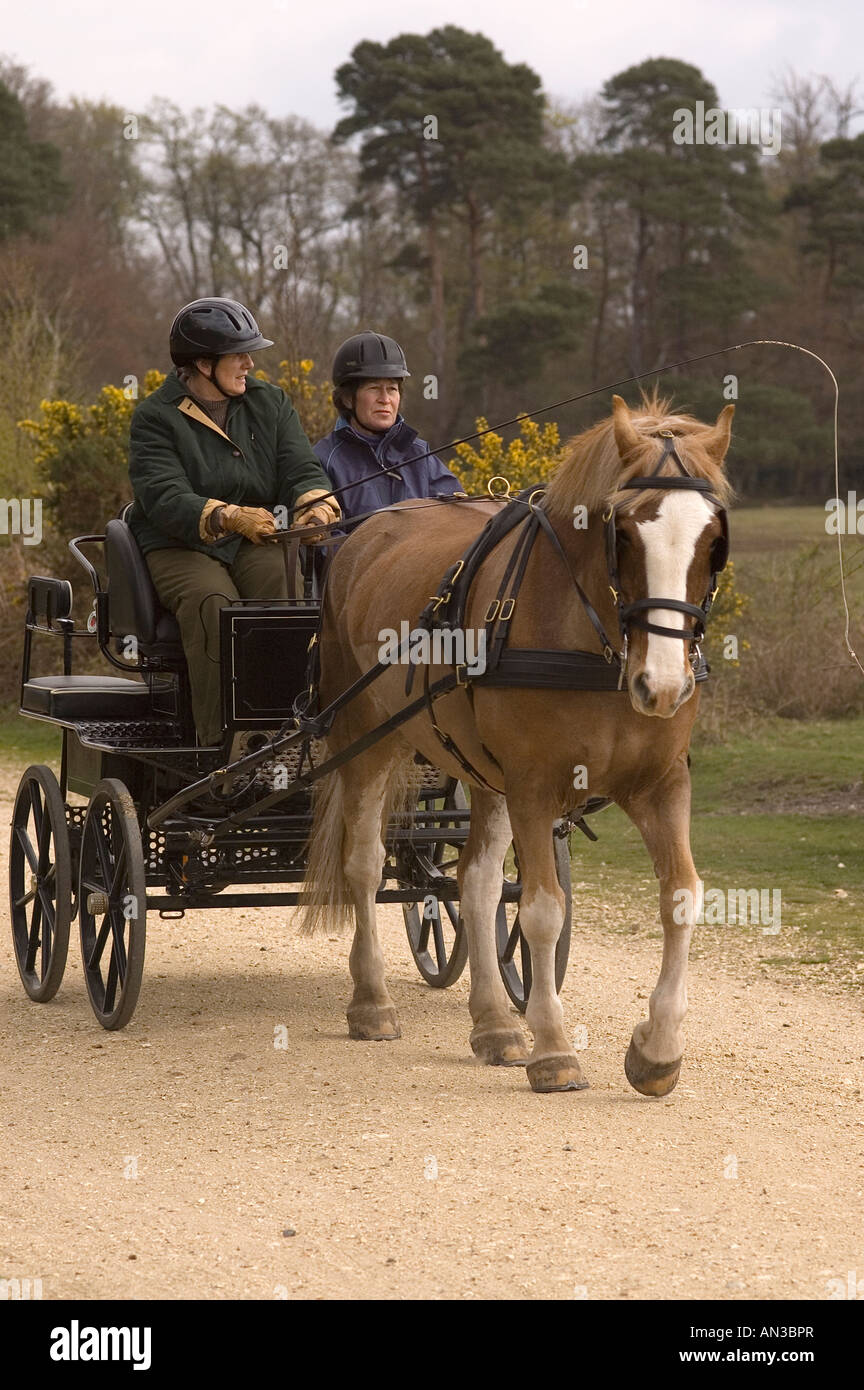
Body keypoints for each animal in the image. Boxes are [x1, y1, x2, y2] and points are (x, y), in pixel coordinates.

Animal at [302, 393, 733, 1094]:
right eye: (622, 531)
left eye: (713, 540)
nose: (663, 685)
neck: (596, 645)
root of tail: (362, 536)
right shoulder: (535, 784)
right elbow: (541, 911)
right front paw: (554, 1049)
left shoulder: (661, 783)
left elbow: (681, 898)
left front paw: (657, 1050)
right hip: (365, 738)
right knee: (364, 863)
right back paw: (372, 1002)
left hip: (482, 770)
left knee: (474, 883)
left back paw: (495, 1025)